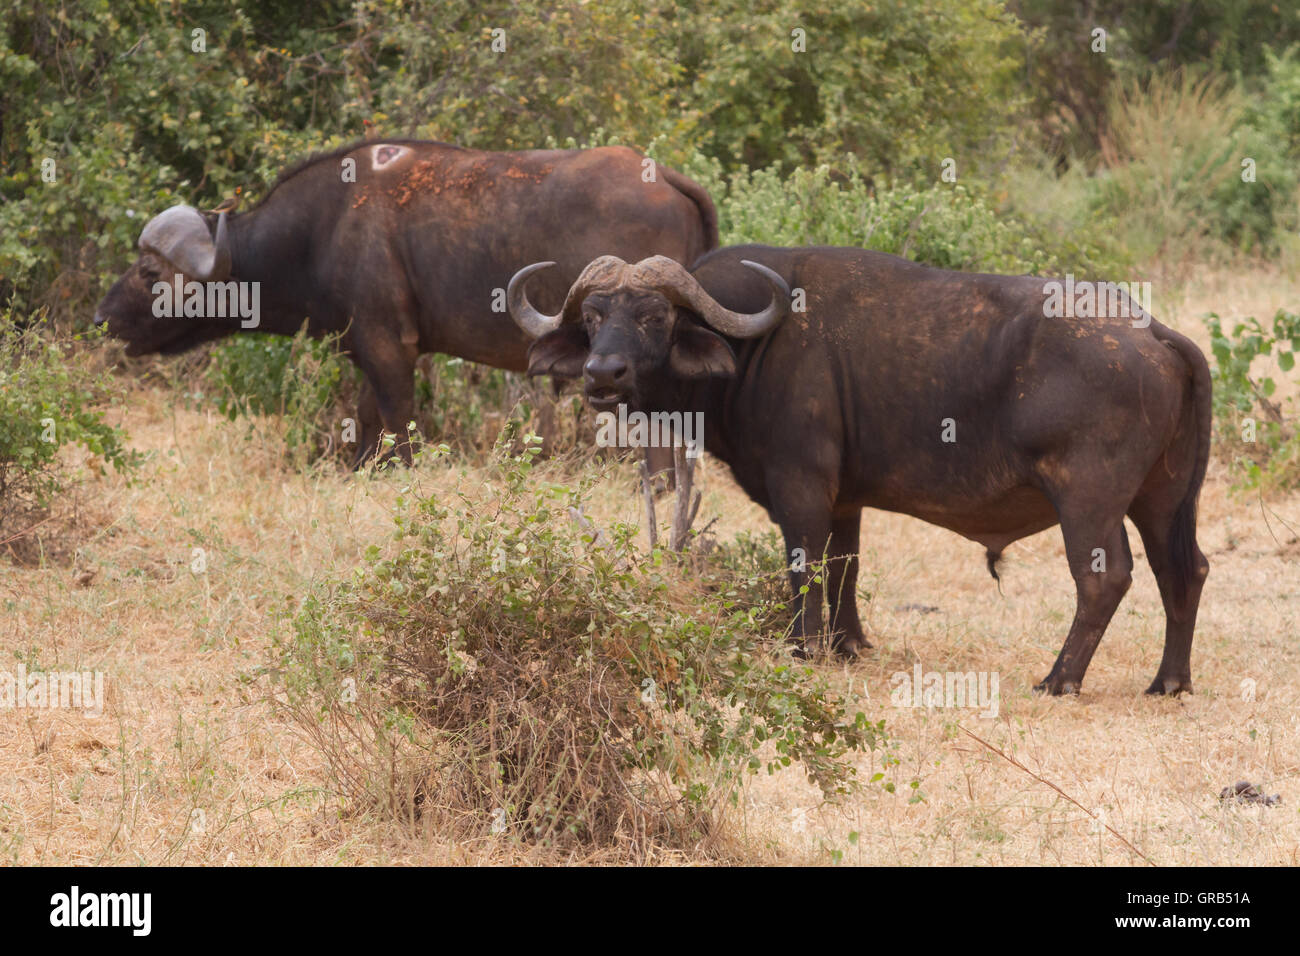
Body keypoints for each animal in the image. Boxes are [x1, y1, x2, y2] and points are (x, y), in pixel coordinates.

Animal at [94, 139, 717, 466]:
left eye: (149, 271)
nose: (101, 318)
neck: (320, 230)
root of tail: (666, 177)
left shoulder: (390, 348)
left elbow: (398, 425)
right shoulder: (371, 354)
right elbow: (370, 425)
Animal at [506, 247, 1212, 696]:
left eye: (655, 317)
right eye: (594, 317)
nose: (603, 373)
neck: (755, 345)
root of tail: (1153, 331)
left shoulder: (801, 490)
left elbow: (804, 567)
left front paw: (803, 649)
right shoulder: (845, 501)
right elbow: (845, 565)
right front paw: (848, 645)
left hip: (1088, 500)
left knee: (1105, 579)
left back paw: (1060, 678)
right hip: (1162, 499)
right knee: (1184, 571)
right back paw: (1169, 680)